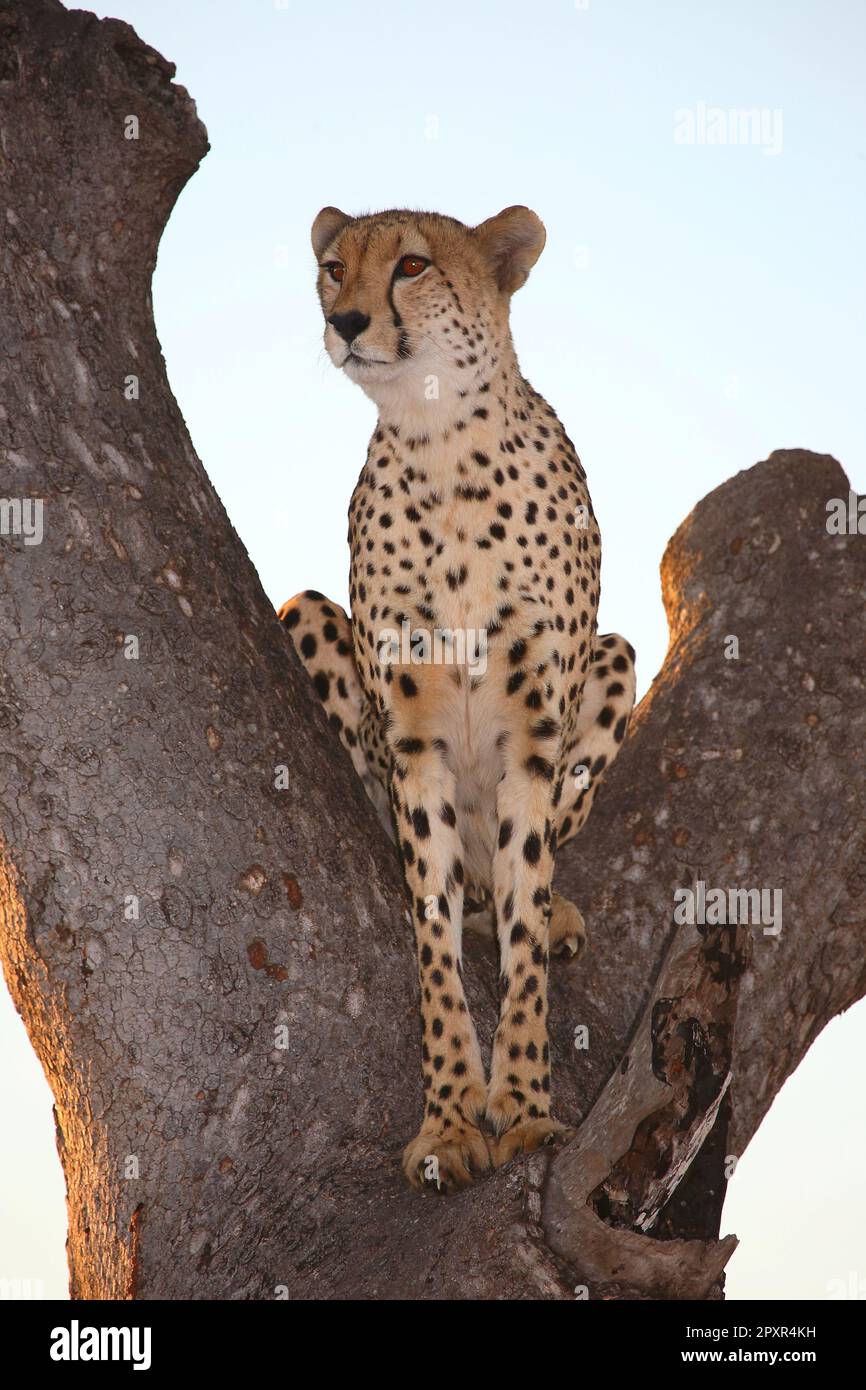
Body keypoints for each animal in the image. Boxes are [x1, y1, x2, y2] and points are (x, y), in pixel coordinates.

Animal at [279, 205, 636, 1193]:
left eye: (411, 265)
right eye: (333, 267)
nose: (347, 322)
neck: (441, 445)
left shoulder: (534, 742)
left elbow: (523, 939)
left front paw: (524, 1106)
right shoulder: (414, 750)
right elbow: (433, 941)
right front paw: (447, 1118)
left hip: (616, 657)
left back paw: (552, 914)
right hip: (305, 612)